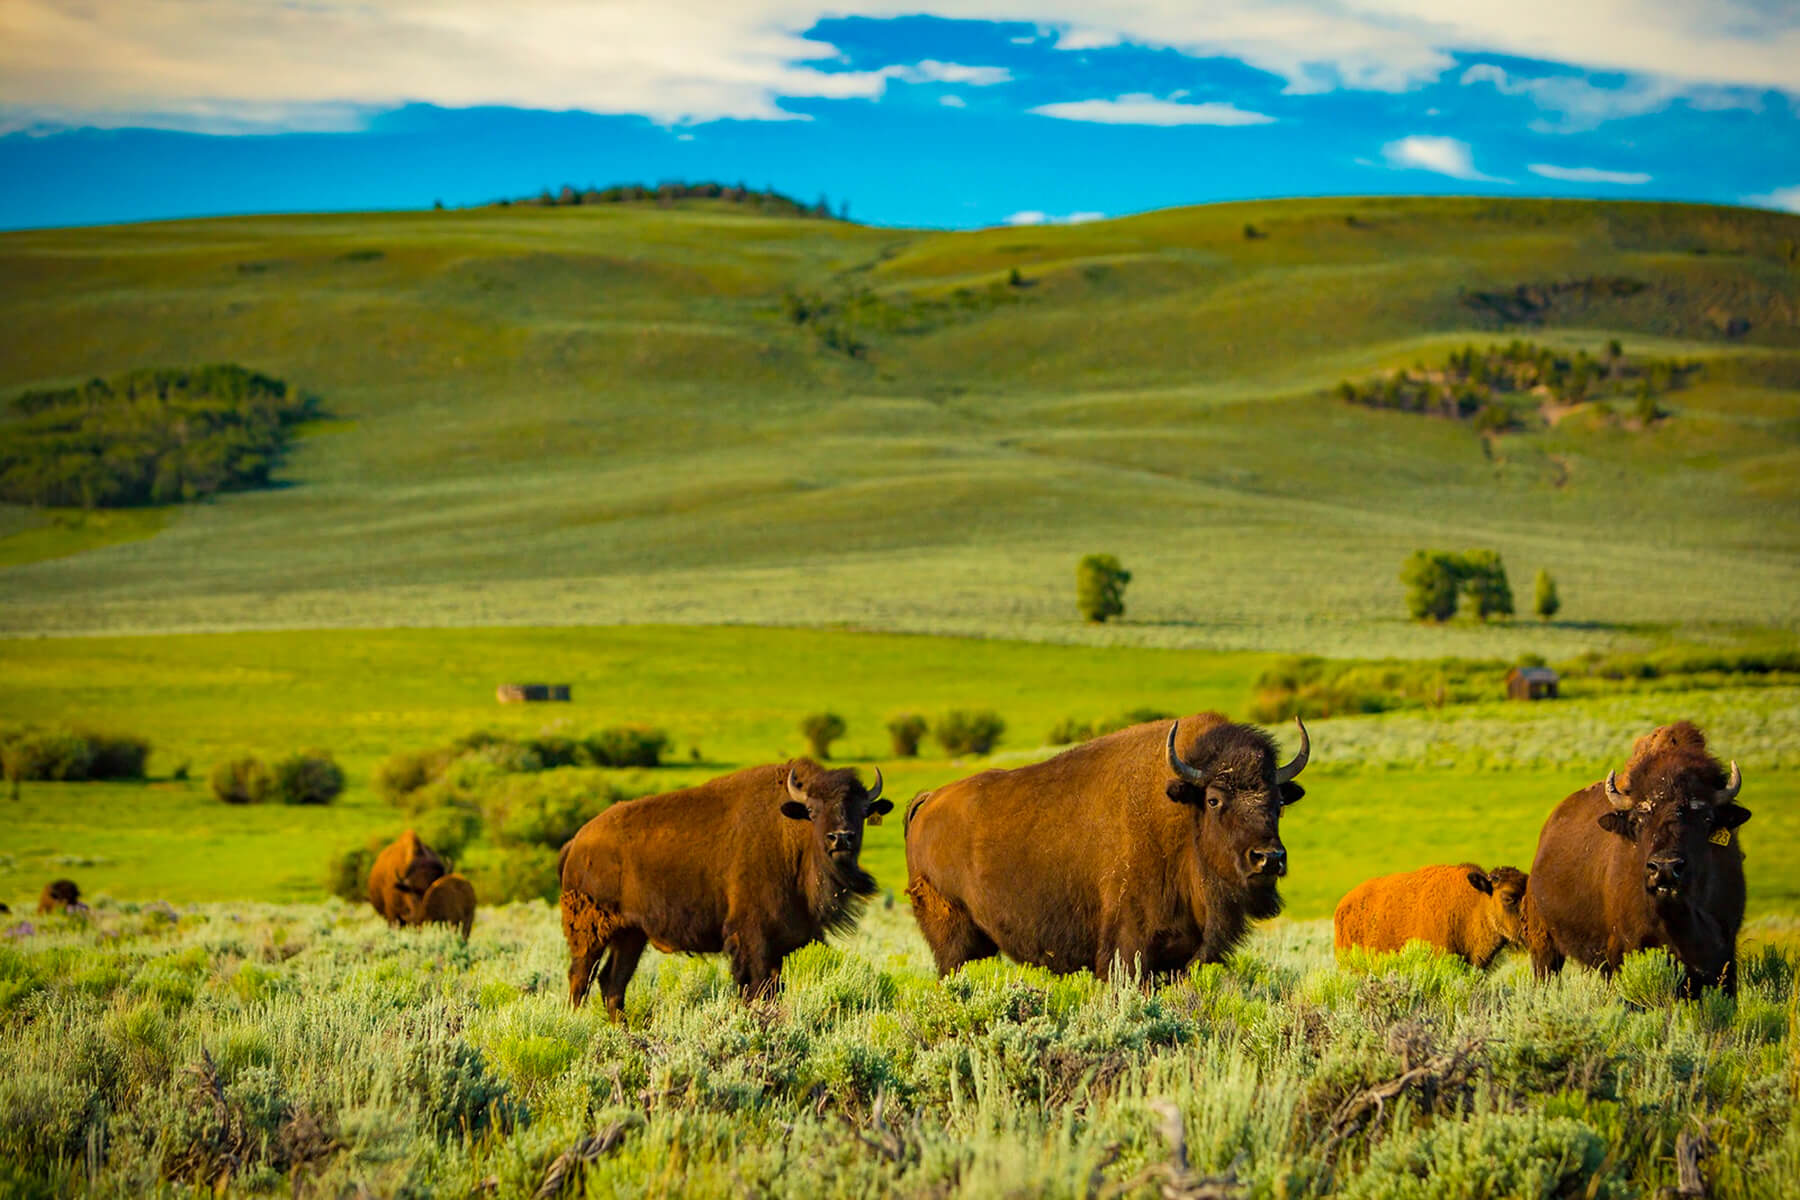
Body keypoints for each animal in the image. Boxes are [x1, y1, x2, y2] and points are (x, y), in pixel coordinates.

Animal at [559, 759, 892, 1019]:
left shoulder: (793, 940)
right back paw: (576, 1024)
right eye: (812, 809)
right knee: (581, 978)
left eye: (862, 810)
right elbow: (757, 990)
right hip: (591, 933)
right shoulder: (753, 940)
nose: (841, 838)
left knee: (612, 983)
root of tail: (577, 842)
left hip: (630, 935)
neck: (792, 834)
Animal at [904, 712, 1309, 978]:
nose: (1268, 858)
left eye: (1279, 803)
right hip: (955, 938)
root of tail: (930, 801)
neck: (1181, 816)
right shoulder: (1128, 950)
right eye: (1214, 799)